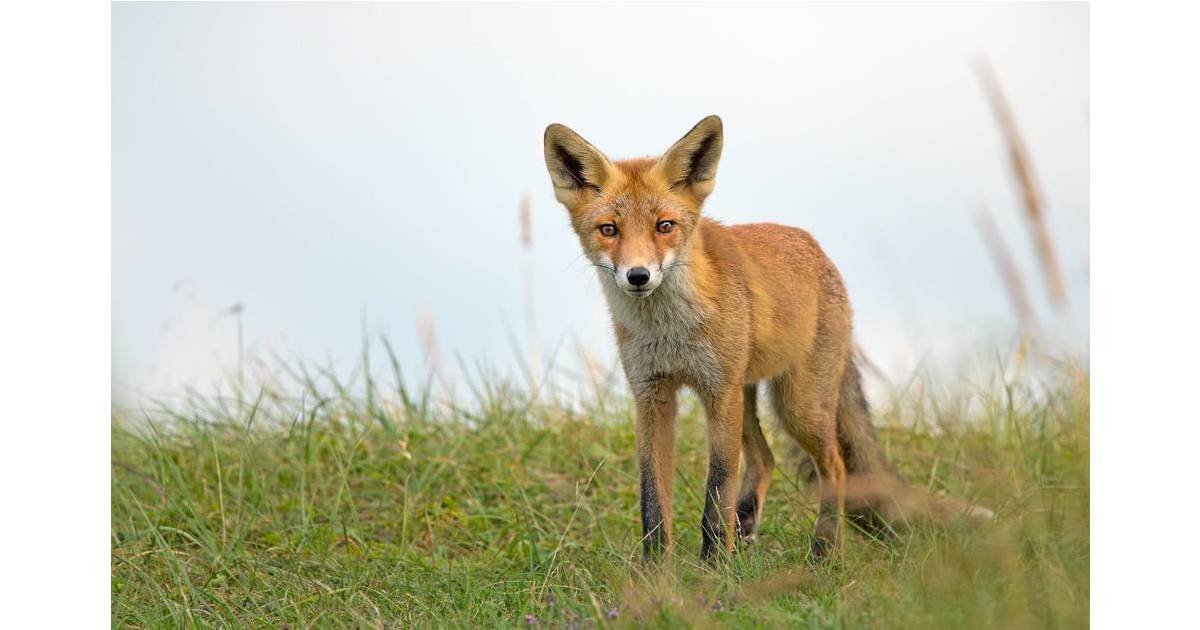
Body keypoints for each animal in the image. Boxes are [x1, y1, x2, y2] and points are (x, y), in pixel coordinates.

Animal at [542, 115, 992, 563]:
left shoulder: (718, 392)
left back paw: (824, 551)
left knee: (834, 467)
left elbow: (717, 491)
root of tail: (820, 251)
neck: (672, 332)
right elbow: (652, 503)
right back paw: (747, 530)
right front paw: (655, 574)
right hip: (746, 398)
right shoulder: (652, 395)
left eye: (664, 226)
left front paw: (713, 568)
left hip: (796, 407)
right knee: (766, 458)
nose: (638, 276)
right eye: (609, 230)